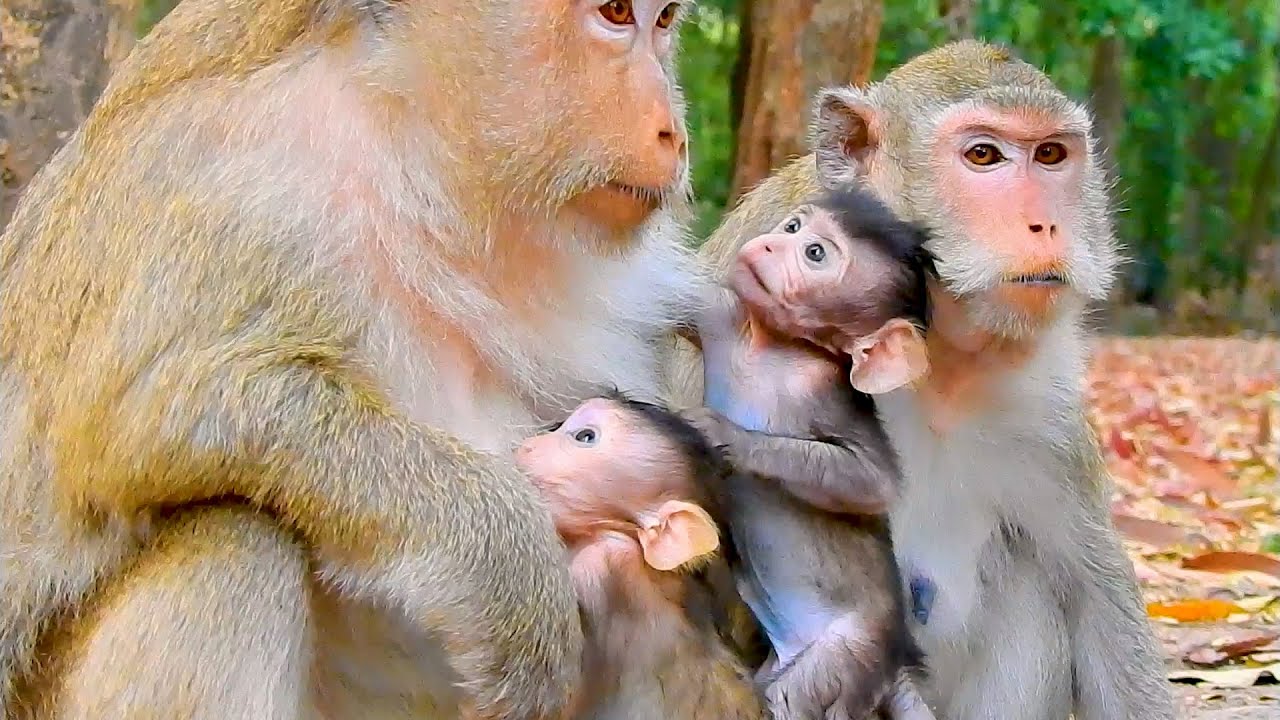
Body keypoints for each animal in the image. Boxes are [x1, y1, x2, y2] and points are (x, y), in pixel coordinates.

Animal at [0, 1, 710, 718]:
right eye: (614, 13)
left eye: (664, 20)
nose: (673, 135)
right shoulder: (234, 188)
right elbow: (140, 418)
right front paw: (506, 567)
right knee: (234, 541)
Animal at [678, 185, 938, 720]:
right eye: (793, 227)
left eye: (815, 254)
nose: (770, 243)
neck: (770, 345)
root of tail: (893, 661)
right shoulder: (723, 315)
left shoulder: (824, 392)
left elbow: (873, 481)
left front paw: (725, 435)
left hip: (848, 655)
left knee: (793, 700)